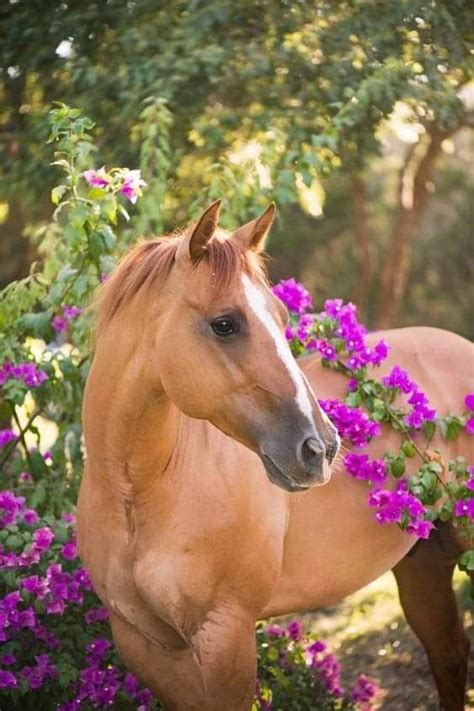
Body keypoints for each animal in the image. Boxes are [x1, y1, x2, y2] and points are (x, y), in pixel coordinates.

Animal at [77, 201, 473, 711]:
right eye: (225, 323)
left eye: (282, 316)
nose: (321, 447)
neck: (140, 493)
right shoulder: (145, 645)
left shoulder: (224, 636)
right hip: (424, 563)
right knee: (449, 653)